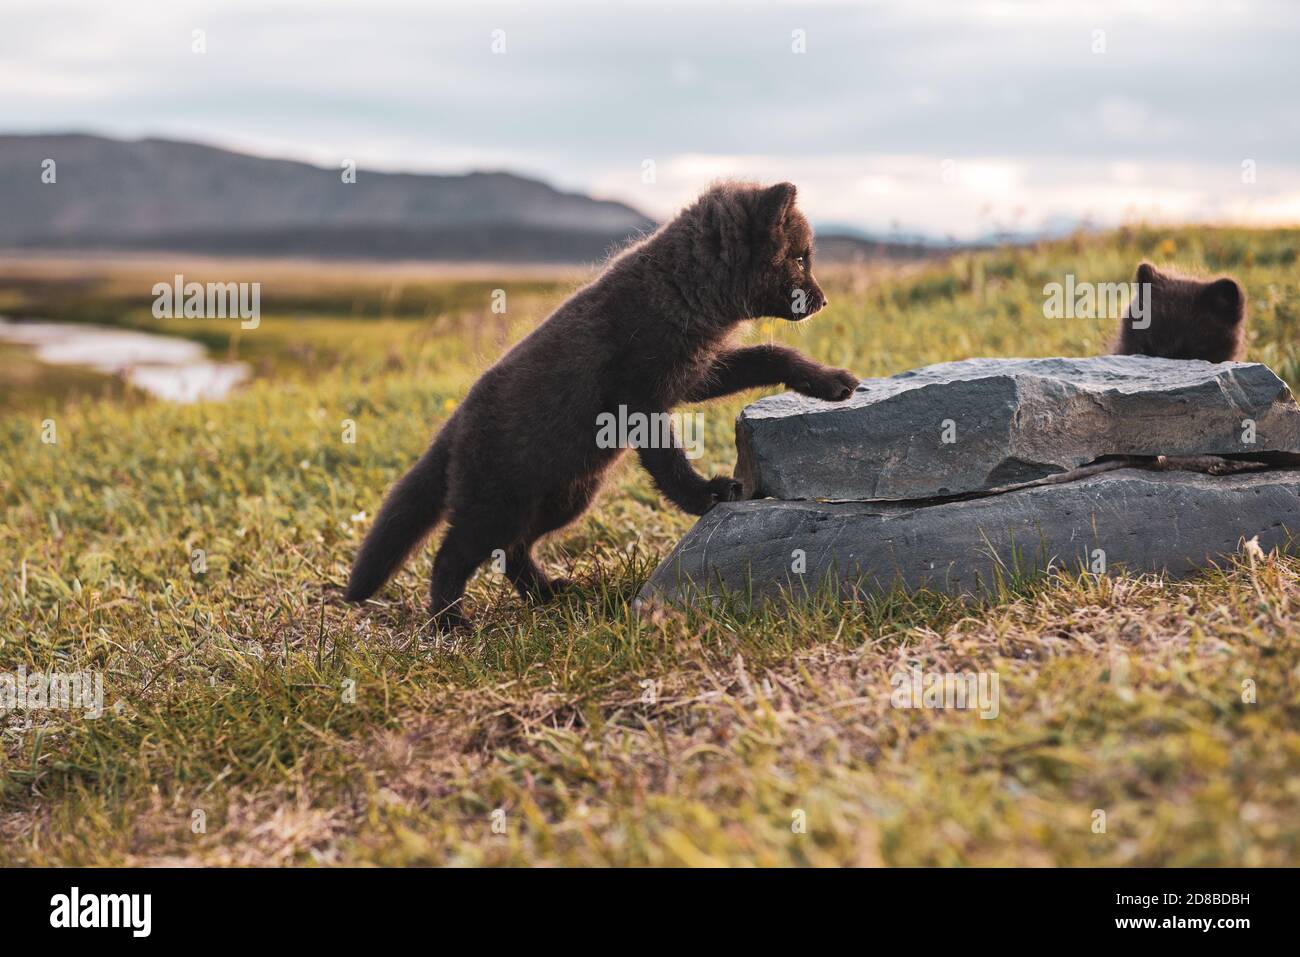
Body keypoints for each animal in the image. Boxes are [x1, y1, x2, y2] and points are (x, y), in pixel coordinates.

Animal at [345, 181, 859, 631]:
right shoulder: (640, 400)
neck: (679, 287)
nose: (823, 301)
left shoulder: (693, 376)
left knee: (512, 550)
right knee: (452, 554)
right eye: (800, 257)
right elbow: (669, 464)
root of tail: (453, 425)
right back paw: (449, 623)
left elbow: (770, 354)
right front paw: (705, 497)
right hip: (495, 504)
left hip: (567, 497)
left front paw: (827, 381)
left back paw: (546, 595)